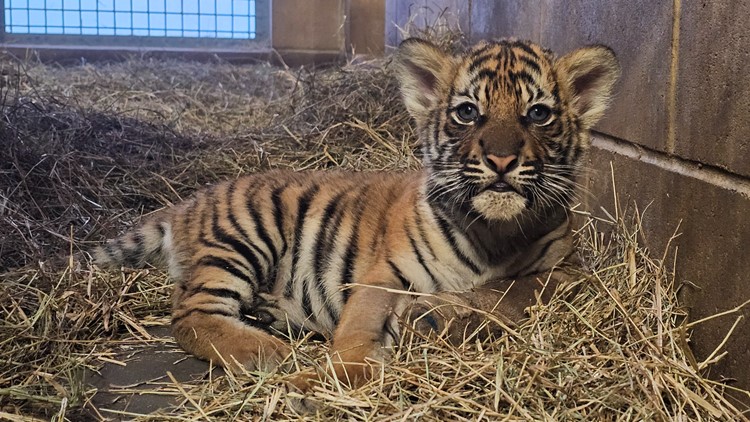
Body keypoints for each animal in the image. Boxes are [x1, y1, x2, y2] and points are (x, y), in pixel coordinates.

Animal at [94, 37, 619, 393]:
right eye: (468, 112)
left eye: (538, 114)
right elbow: (358, 328)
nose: (502, 159)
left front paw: (435, 316)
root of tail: (189, 200)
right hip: (245, 234)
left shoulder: (570, 271)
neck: (495, 232)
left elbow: (513, 292)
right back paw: (266, 352)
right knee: (189, 313)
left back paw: (270, 320)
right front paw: (326, 380)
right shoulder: (382, 273)